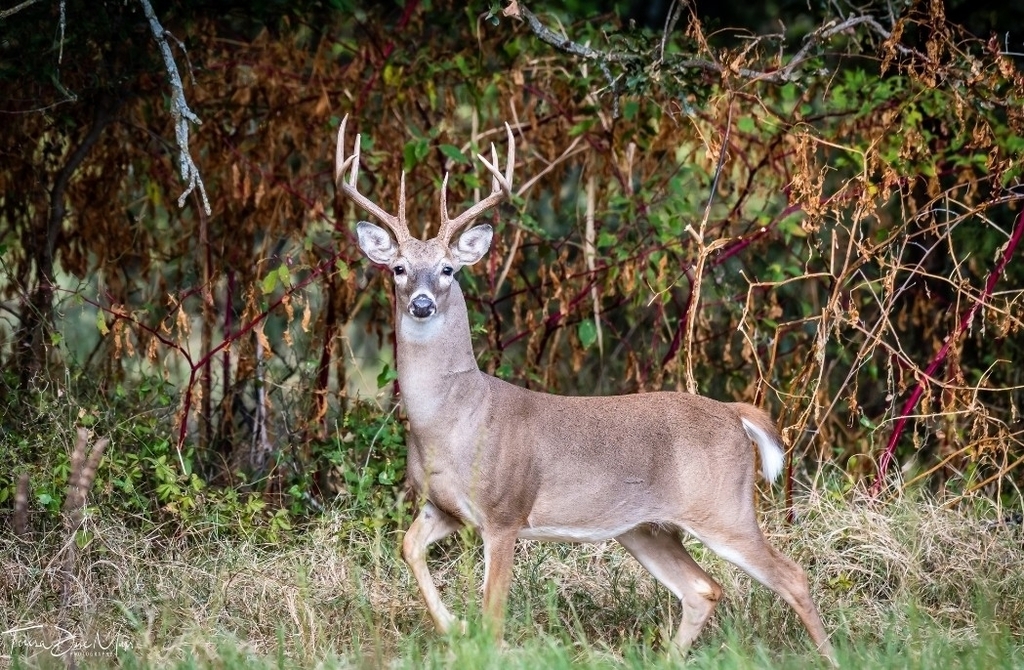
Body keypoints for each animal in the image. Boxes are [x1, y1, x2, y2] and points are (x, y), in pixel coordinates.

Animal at [333, 115, 836, 663]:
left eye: (448, 269)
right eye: (398, 268)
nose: (421, 302)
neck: (454, 420)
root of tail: (734, 414)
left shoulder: (505, 512)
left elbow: (493, 614)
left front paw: (478, 640)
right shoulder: (441, 506)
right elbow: (408, 548)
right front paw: (452, 626)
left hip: (724, 507)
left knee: (791, 575)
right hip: (645, 529)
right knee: (703, 589)